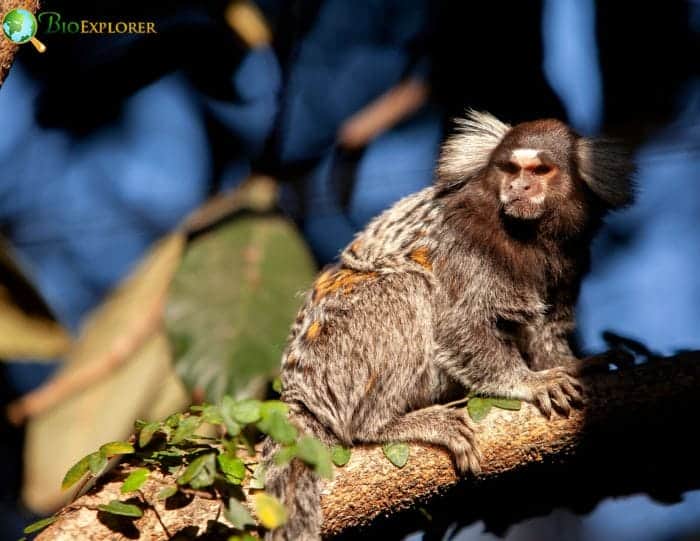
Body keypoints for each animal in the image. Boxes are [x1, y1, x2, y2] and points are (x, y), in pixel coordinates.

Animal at [262, 111, 635, 540]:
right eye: (510, 169)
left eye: (541, 170)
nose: (519, 186)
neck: (529, 239)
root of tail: (297, 392)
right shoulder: (461, 248)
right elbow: (456, 327)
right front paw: (529, 381)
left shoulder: (569, 259)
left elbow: (546, 331)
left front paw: (575, 365)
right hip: (339, 354)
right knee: (405, 290)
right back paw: (388, 422)